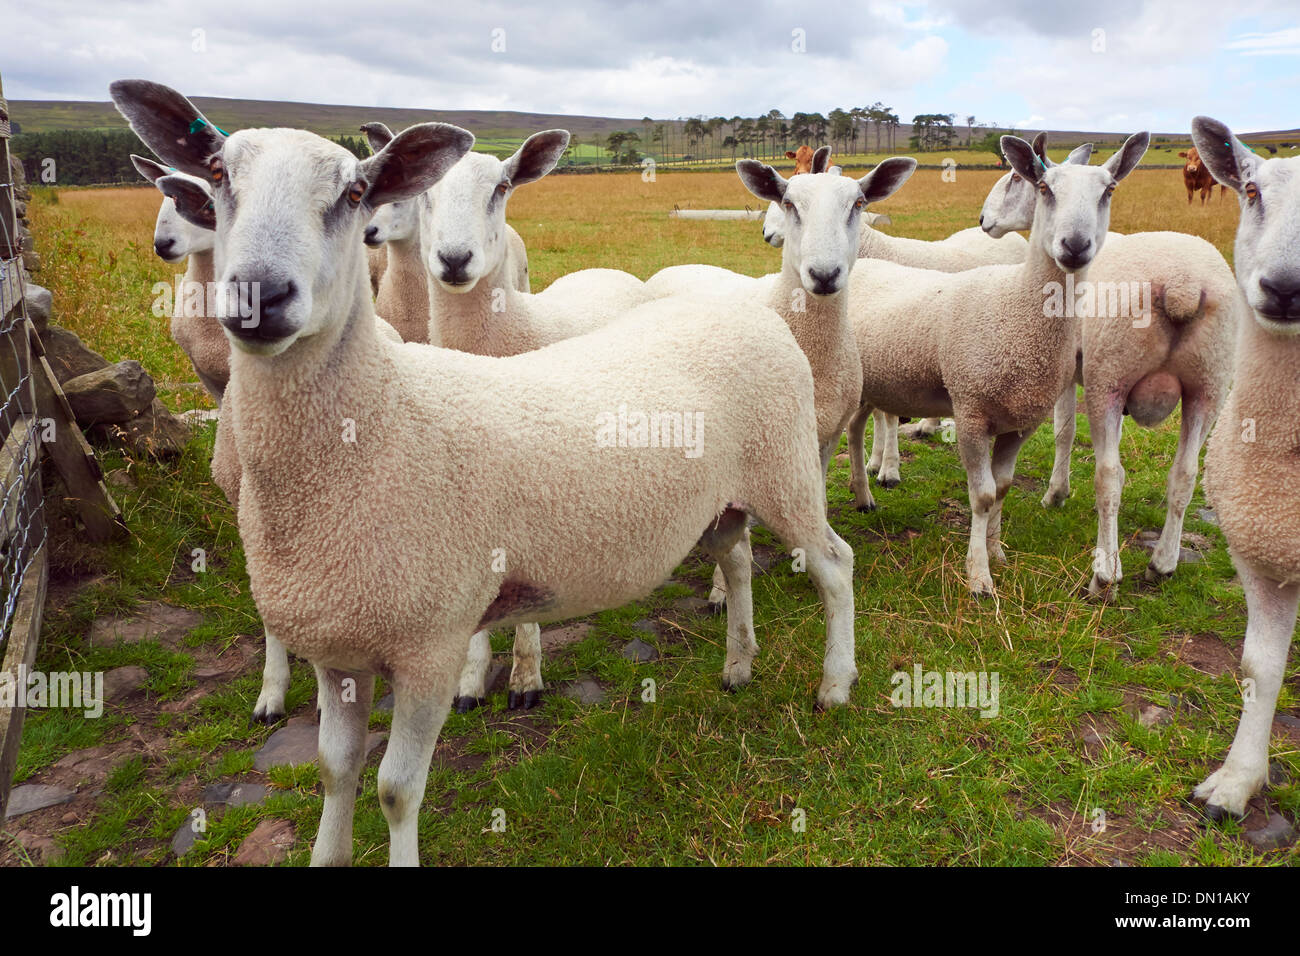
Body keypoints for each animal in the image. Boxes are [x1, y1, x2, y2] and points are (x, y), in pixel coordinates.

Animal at [845, 131, 1150, 596]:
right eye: (1044, 188)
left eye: (1109, 190)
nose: (1075, 246)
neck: (1016, 308)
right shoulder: (970, 411)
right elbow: (983, 495)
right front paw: (978, 576)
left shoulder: (1018, 423)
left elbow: (1003, 488)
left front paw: (997, 553)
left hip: (870, 386)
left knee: (855, 428)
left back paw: (863, 496)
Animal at [978, 138, 1243, 598]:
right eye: (1046, 186)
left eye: (1016, 178)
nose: (982, 220)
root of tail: (1182, 285)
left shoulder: (1068, 371)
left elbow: (1064, 431)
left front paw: (1056, 494)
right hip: (1209, 385)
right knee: (1185, 475)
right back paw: (1162, 564)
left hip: (1110, 378)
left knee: (1108, 476)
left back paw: (1104, 574)